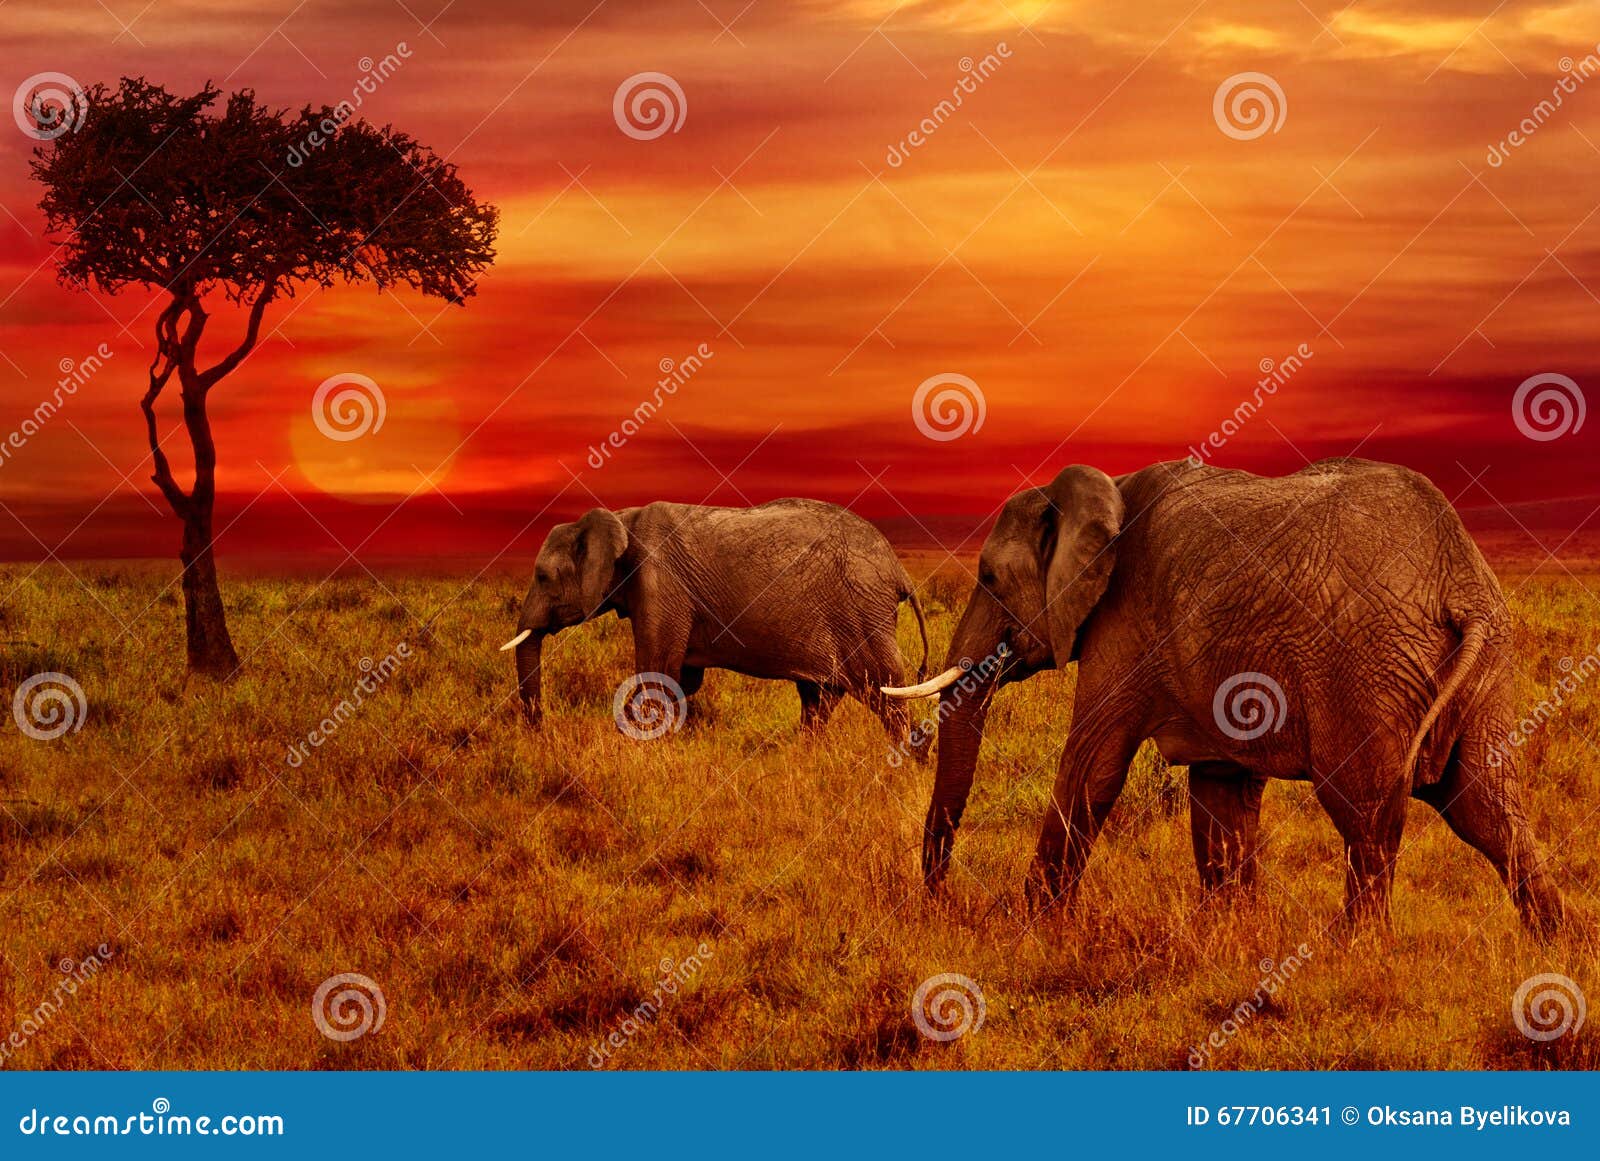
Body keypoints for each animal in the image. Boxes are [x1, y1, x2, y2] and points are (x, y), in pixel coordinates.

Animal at [500, 498, 928, 740]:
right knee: (819, 698)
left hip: (862, 611)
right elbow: (682, 680)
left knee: (887, 690)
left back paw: (906, 764)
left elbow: (656, 668)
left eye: (542, 577)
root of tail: (897, 570)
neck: (621, 518)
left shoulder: (659, 581)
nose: (540, 732)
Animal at [884, 457, 1563, 934]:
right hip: (1485, 666)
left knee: (1367, 811)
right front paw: (1231, 932)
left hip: (1368, 665)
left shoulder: (1125, 623)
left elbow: (1092, 766)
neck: (1106, 486)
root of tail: (1459, 580)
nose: (944, 901)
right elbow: (1220, 793)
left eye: (989, 578)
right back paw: (1557, 943)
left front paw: (1031, 928)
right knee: (1486, 807)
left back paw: (1352, 948)